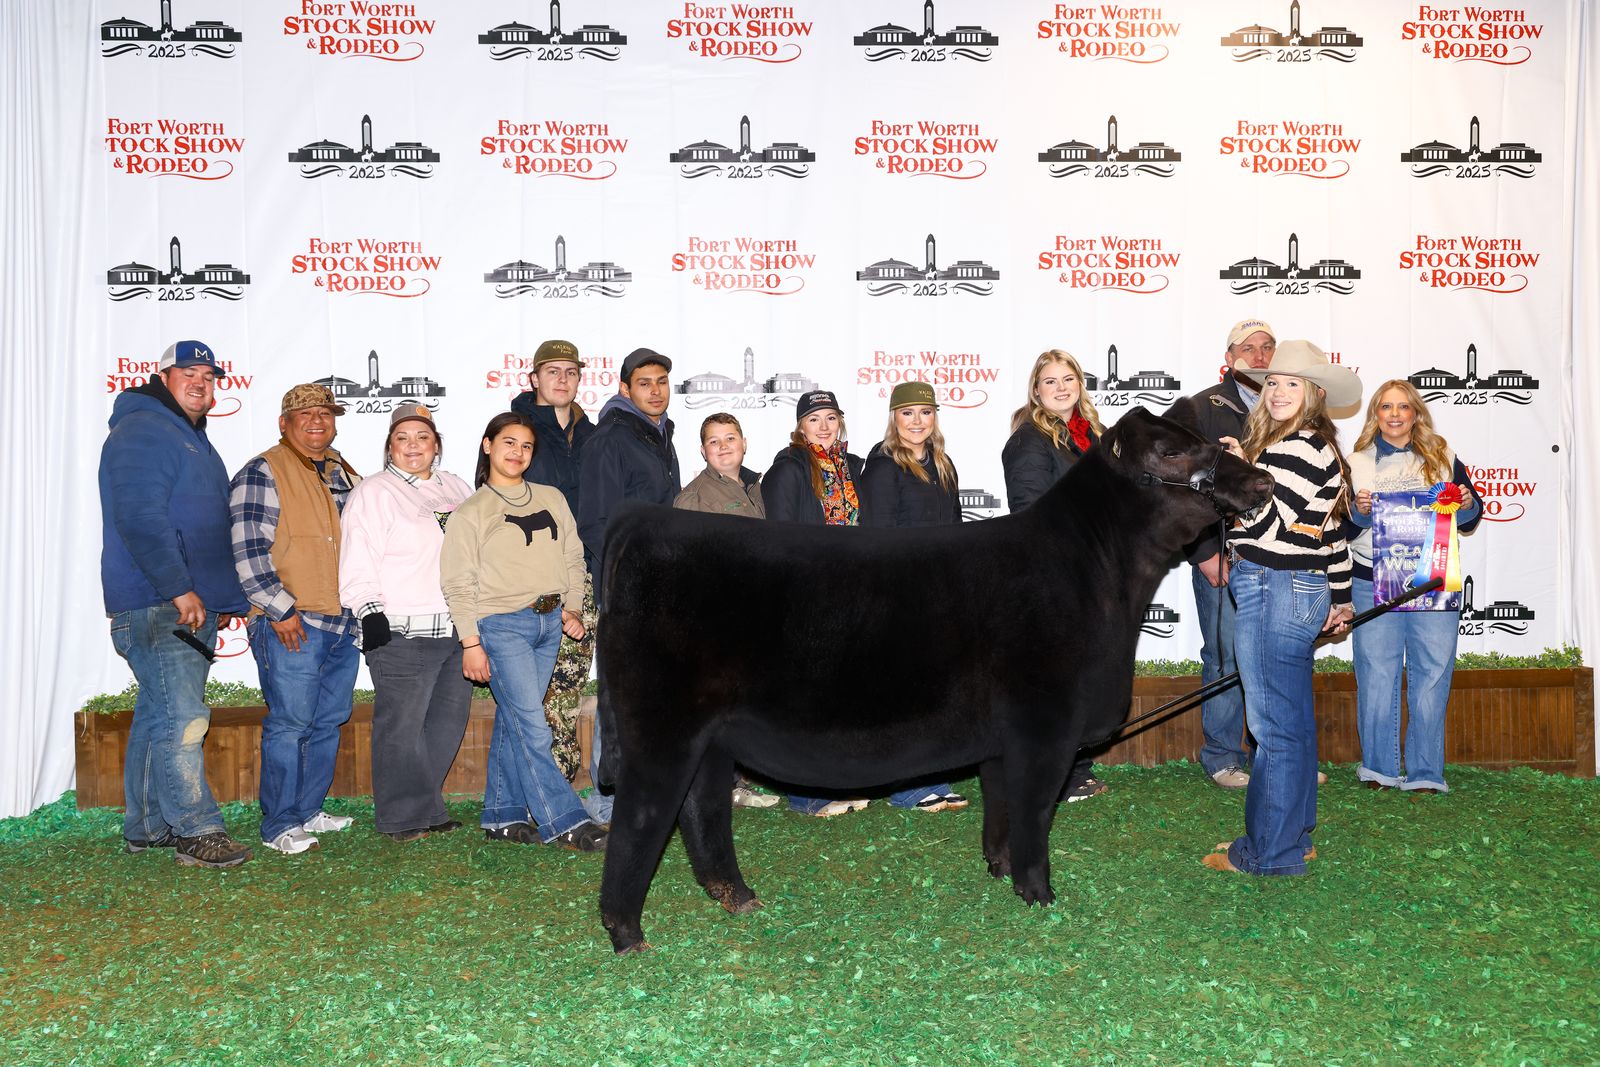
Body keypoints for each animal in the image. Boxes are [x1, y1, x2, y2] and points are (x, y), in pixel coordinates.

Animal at [595, 404, 1273, 953]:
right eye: (1172, 452)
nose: (1262, 480)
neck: (1098, 578)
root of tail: (641, 524)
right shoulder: (1045, 725)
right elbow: (1034, 810)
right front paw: (1038, 893)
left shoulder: (1005, 737)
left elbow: (1001, 804)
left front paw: (1000, 870)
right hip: (661, 732)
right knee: (640, 817)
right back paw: (627, 933)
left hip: (711, 737)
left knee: (702, 809)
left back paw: (735, 896)